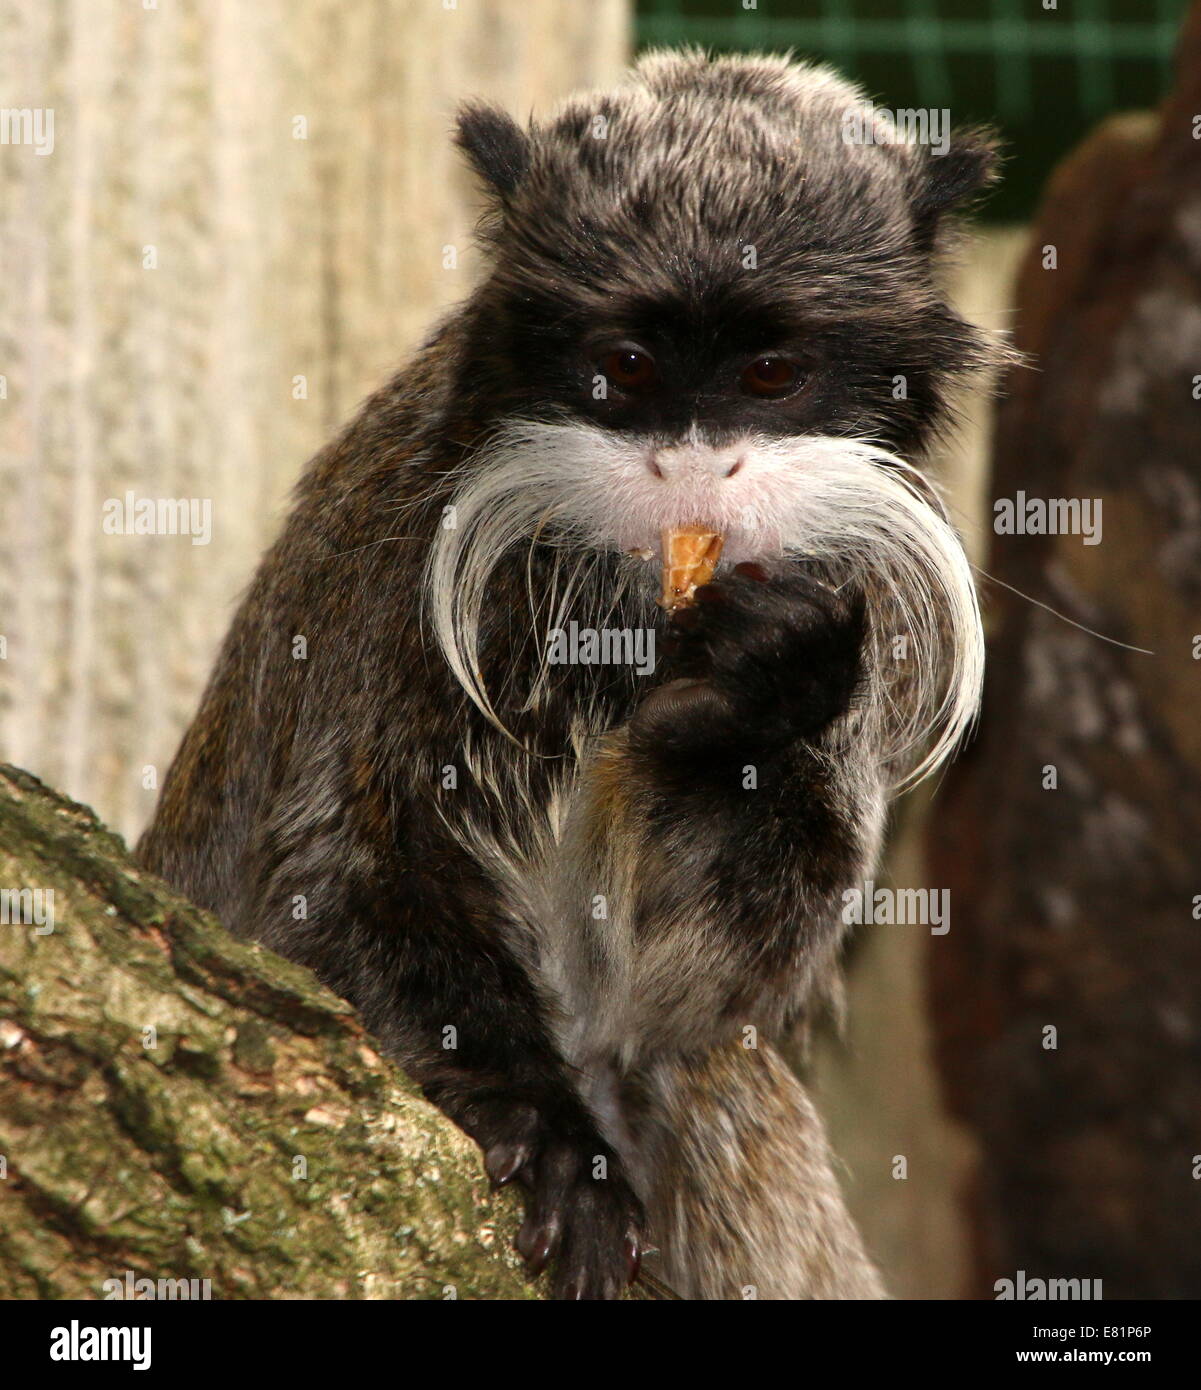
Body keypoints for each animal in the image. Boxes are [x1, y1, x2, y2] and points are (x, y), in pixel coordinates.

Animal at [138, 48, 1001, 1300]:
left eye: (771, 374)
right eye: (626, 368)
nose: (691, 475)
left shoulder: (861, 607)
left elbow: (693, 996)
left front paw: (755, 701)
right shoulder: (413, 549)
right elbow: (335, 883)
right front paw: (552, 1140)